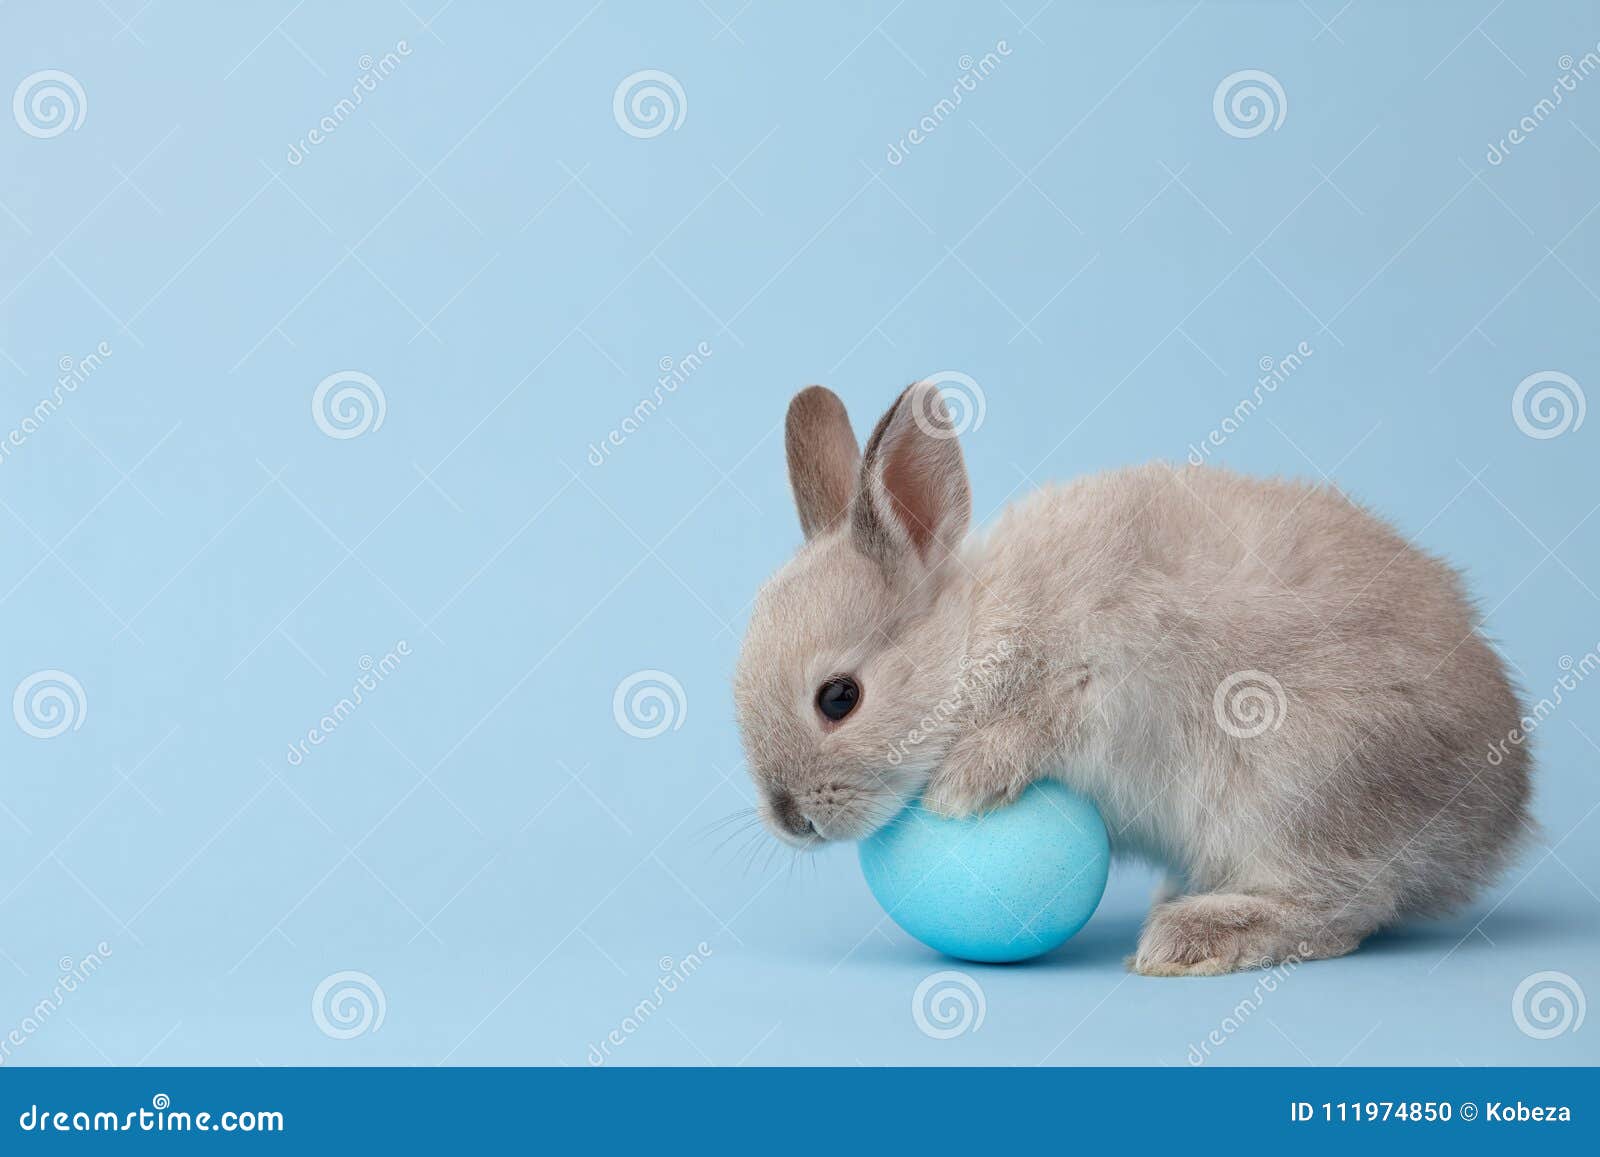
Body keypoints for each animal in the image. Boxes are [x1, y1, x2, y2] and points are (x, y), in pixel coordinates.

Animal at [733, 381, 1533, 976]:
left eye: (839, 698)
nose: (790, 820)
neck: (968, 636)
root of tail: (1499, 815)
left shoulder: (1103, 669)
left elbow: (1048, 719)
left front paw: (964, 785)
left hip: (1298, 789)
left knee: (1344, 905)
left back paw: (1193, 937)